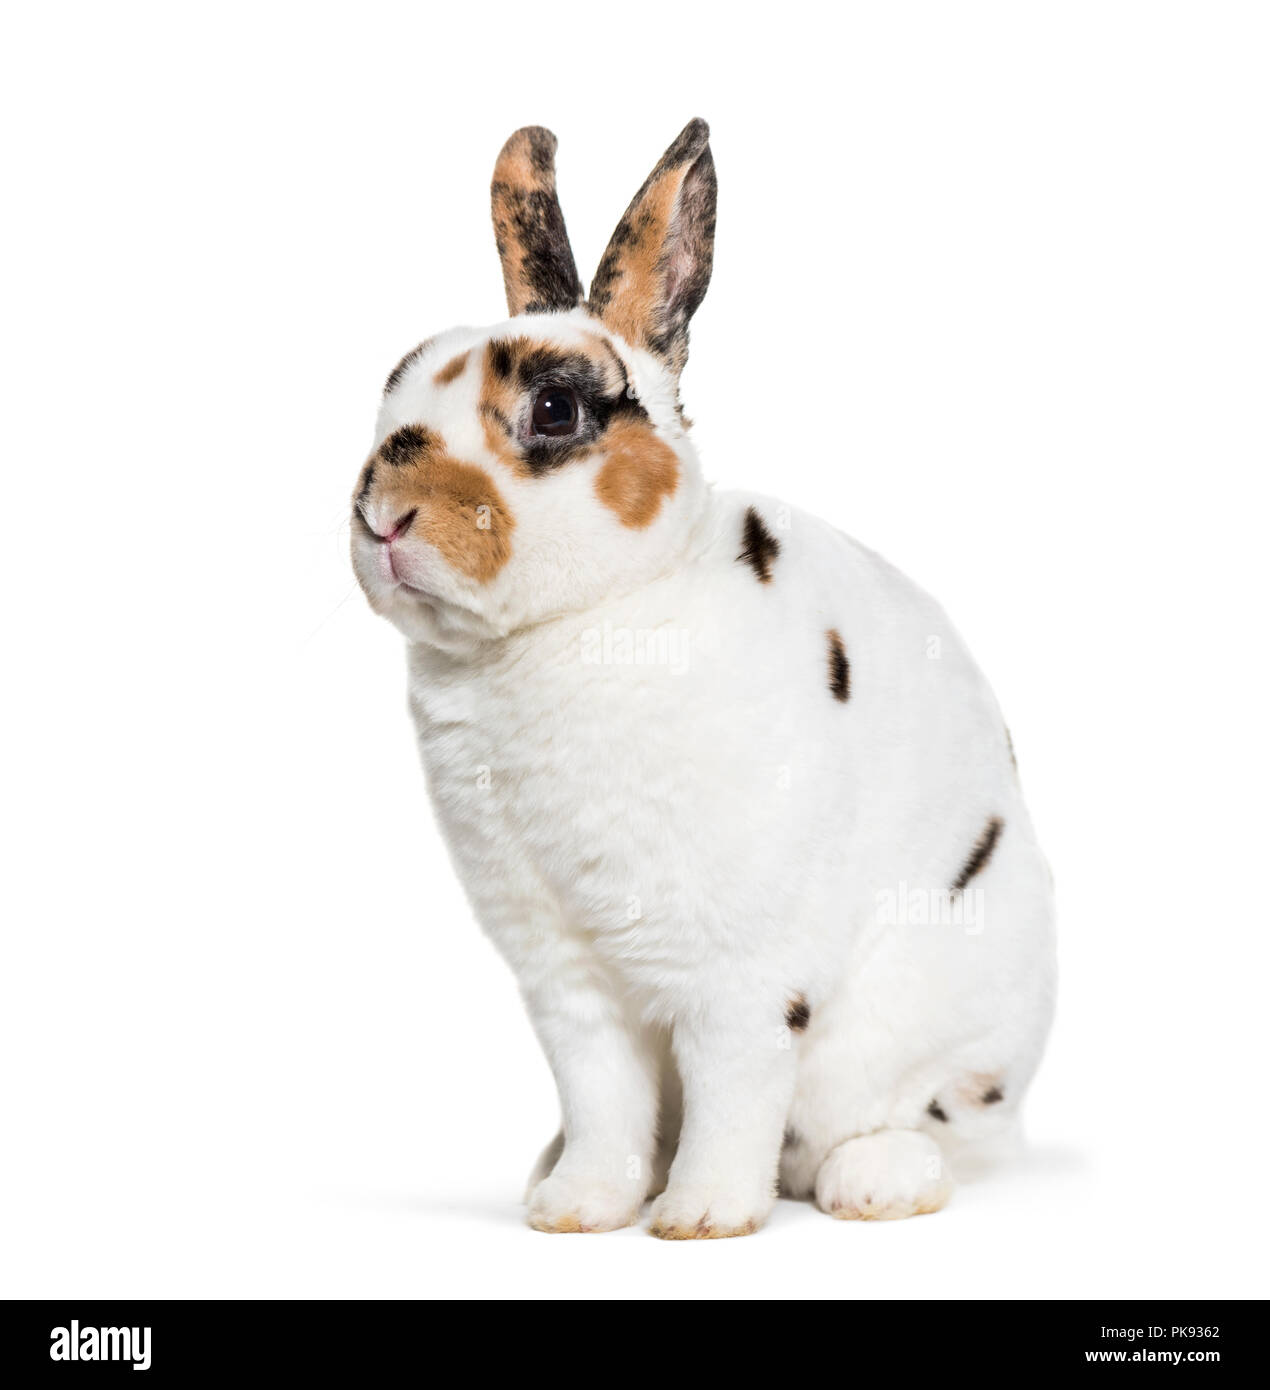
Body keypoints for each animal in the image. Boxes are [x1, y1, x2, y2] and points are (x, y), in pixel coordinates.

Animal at [350, 118, 1056, 1238]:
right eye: (393, 386)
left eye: (554, 407)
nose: (384, 515)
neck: (577, 624)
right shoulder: (567, 982)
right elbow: (600, 1097)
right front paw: (578, 1206)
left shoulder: (738, 975)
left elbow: (734, 1087)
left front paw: (704, 1217)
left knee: (940, 1132)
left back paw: (874, 1181)